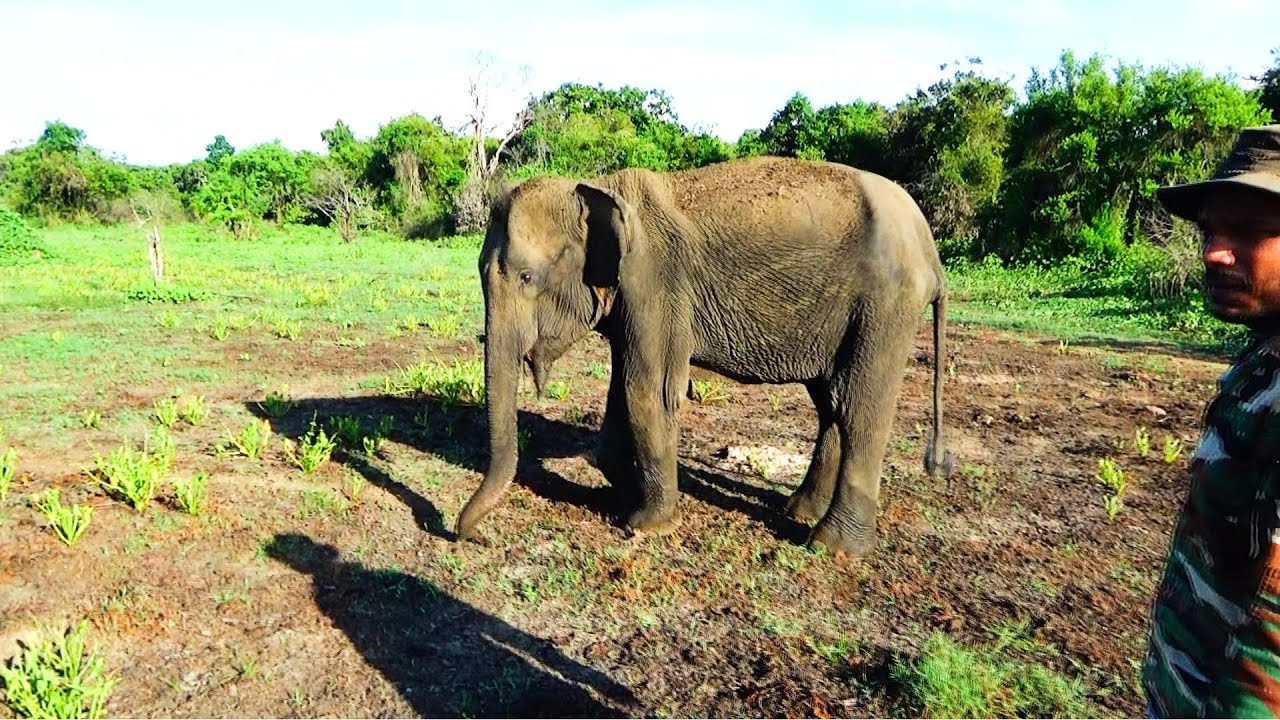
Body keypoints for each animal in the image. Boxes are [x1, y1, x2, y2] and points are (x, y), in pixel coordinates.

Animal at [454, 155, 952, 560]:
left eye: (526, 277)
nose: (475, 537)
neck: (598, 188)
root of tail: (931, 251)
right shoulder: (630, 299)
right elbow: (624, 387)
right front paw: (623, 493)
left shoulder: (653, 282)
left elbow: (647, 391)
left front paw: (646, 526)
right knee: (830, 404)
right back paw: (799, 510)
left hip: (885, 307)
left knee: (859, 410)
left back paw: (832, 547)